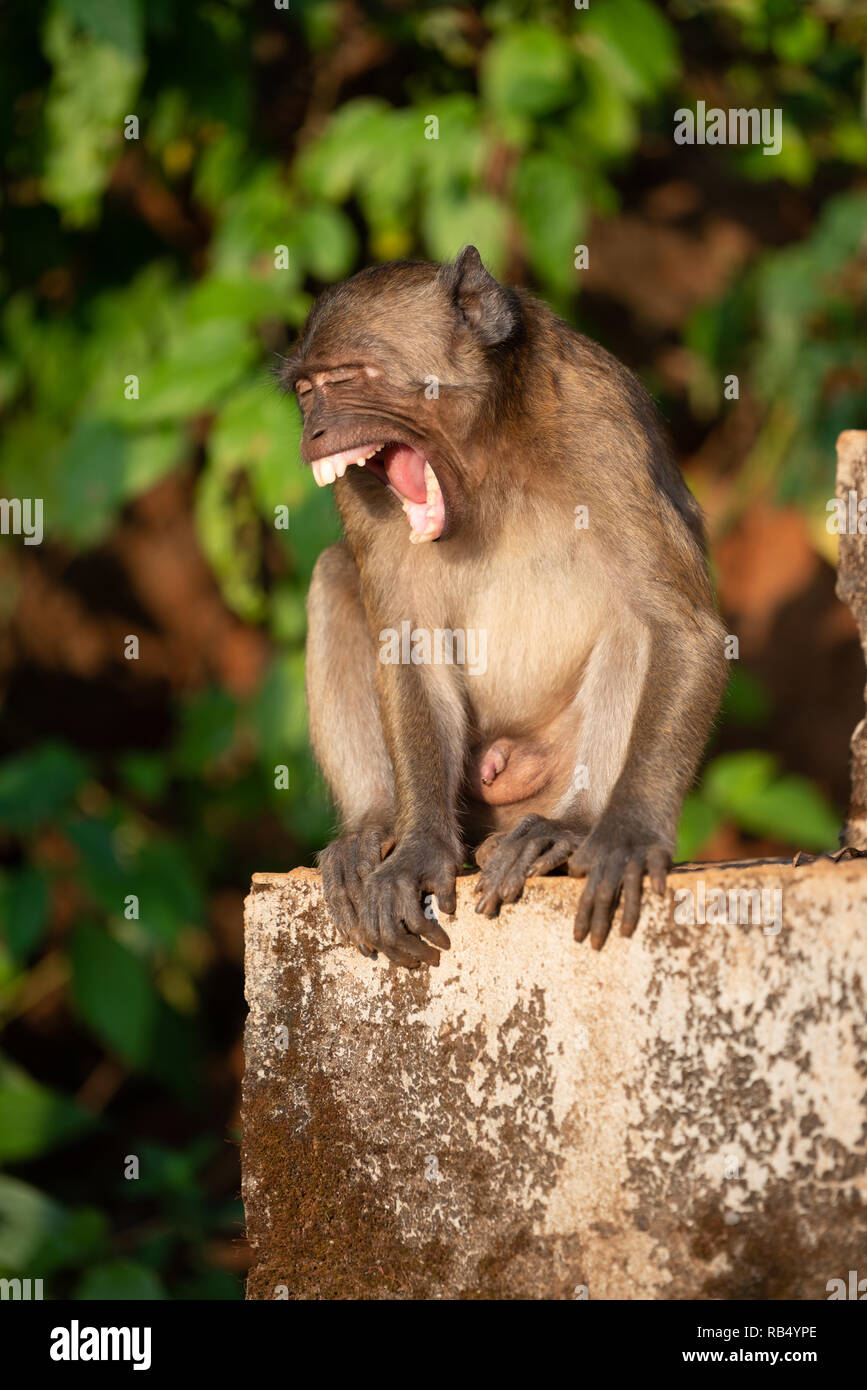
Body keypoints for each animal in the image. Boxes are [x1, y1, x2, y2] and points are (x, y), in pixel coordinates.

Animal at [280, 246, 727, 968]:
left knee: (637, 621)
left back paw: (571, 827)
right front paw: (416, 851)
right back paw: (371, 827)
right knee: (334, 573)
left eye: (345, 378)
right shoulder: (360, 491)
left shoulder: (598, 424)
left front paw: (628, 832)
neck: (482, 454)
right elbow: (407, 646)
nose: (314, 431)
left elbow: (680, 629)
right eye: (304, 390)